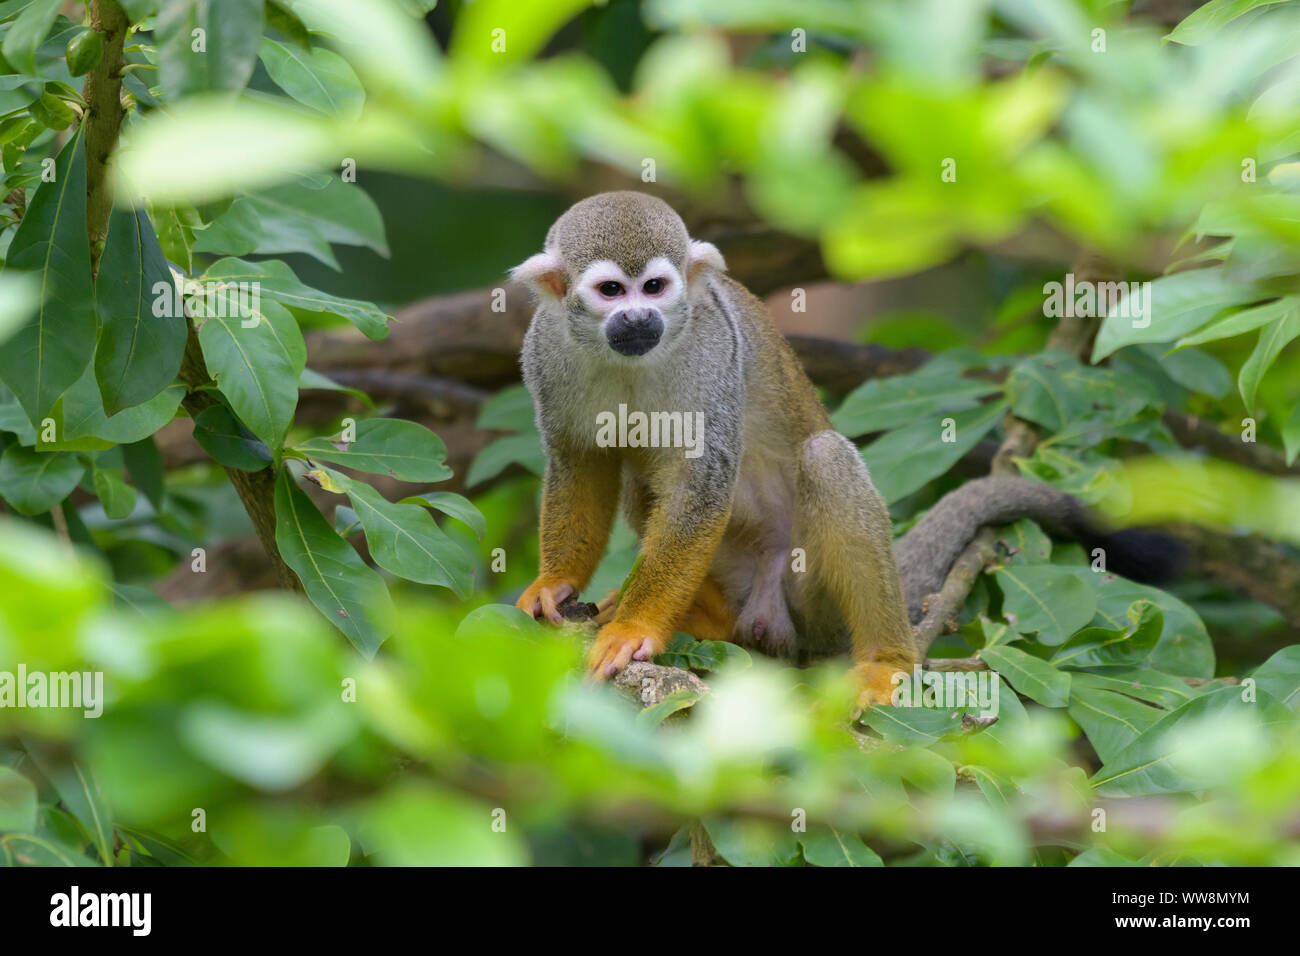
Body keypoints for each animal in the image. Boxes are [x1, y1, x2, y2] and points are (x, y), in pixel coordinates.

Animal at [510, 191, 1181, 709]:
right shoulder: (544, 349)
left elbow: (703, 480)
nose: (640, 319)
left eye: (654, 287)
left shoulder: (709, 348)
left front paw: (635, 628)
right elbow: (579, 460)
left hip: (810, 605)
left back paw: (887, 658)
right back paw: (708, 618)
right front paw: (557, 583)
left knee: (827, 462)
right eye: (611, 291)